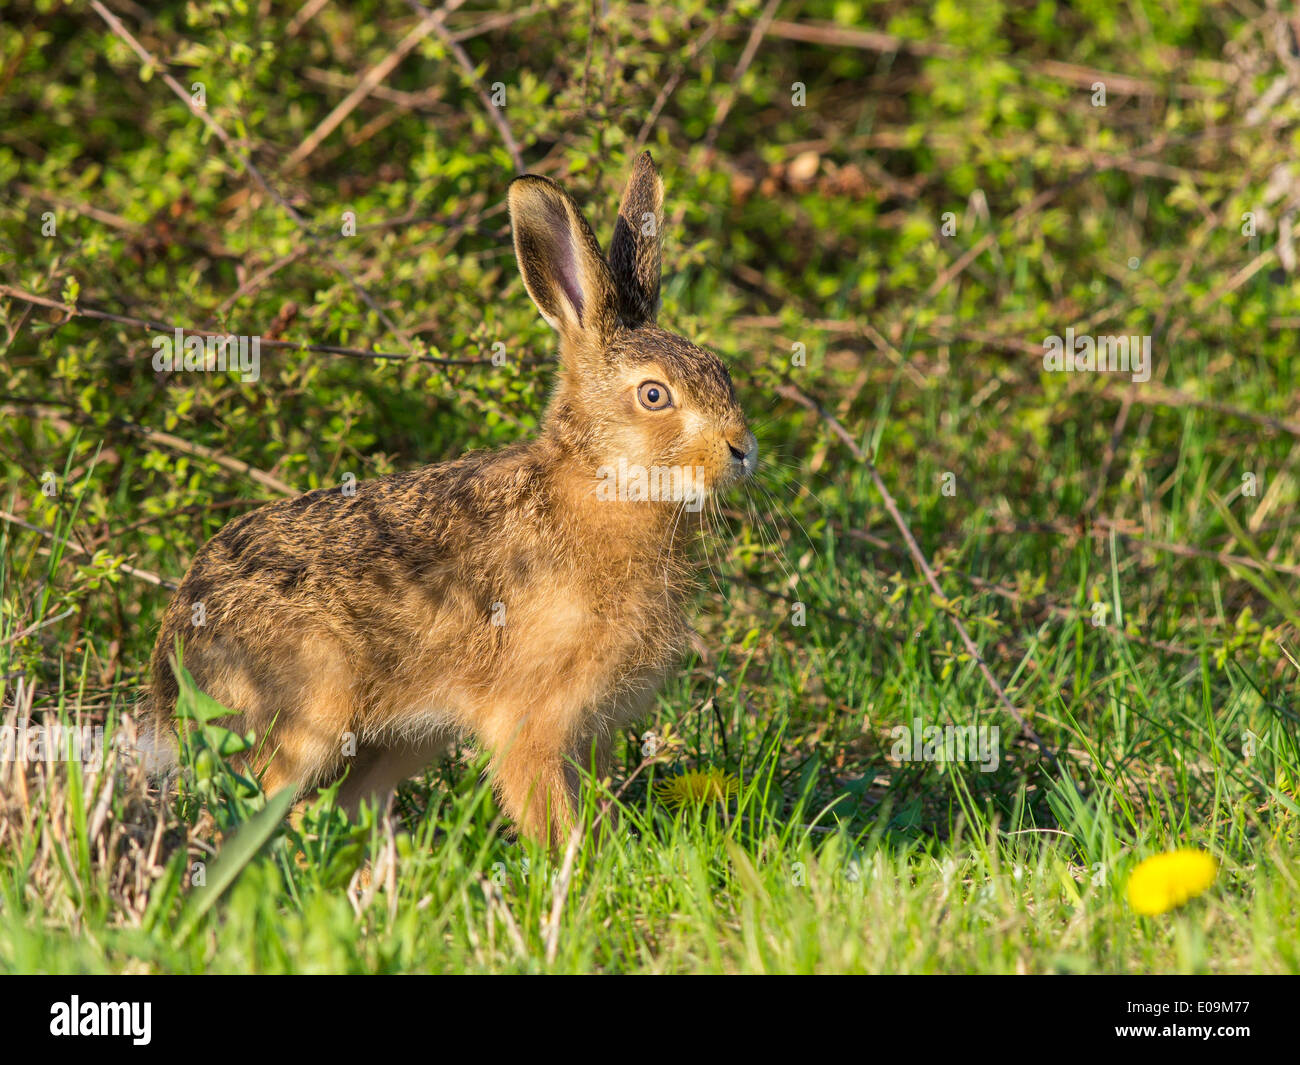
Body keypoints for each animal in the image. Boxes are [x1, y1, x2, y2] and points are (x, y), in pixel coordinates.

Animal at [146, 151, 758, 848]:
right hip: (308, 718)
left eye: (721, 371)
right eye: (654, 396)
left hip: (392, 743)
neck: (601, 484)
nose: (742, 450)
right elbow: (549, 811)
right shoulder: (531, 721)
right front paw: (569, 867)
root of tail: (172, 665)